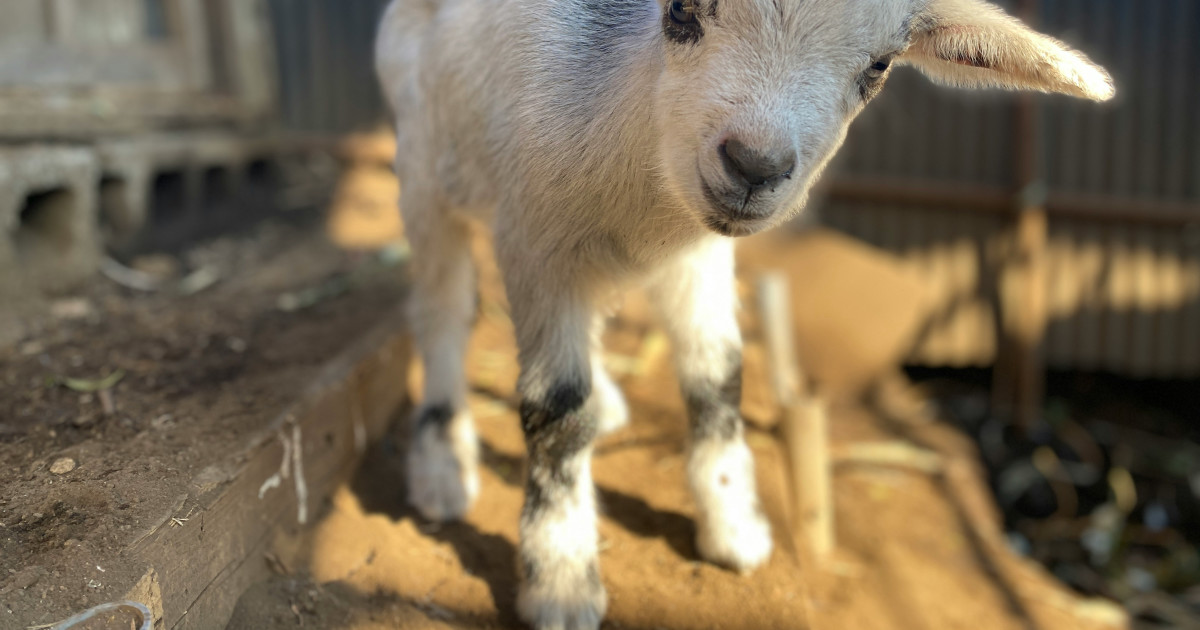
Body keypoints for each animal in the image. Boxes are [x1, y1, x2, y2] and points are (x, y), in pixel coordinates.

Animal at [375, 1, 1112, 628]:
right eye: (680, 9)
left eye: (879, 66)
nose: (755, 166)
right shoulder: (538, 244)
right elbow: (556, 408)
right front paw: (561, 582)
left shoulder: (697, 256)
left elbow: (718, 376)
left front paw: (735, 528)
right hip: (423, 163)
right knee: (442, 310)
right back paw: (441, 465)